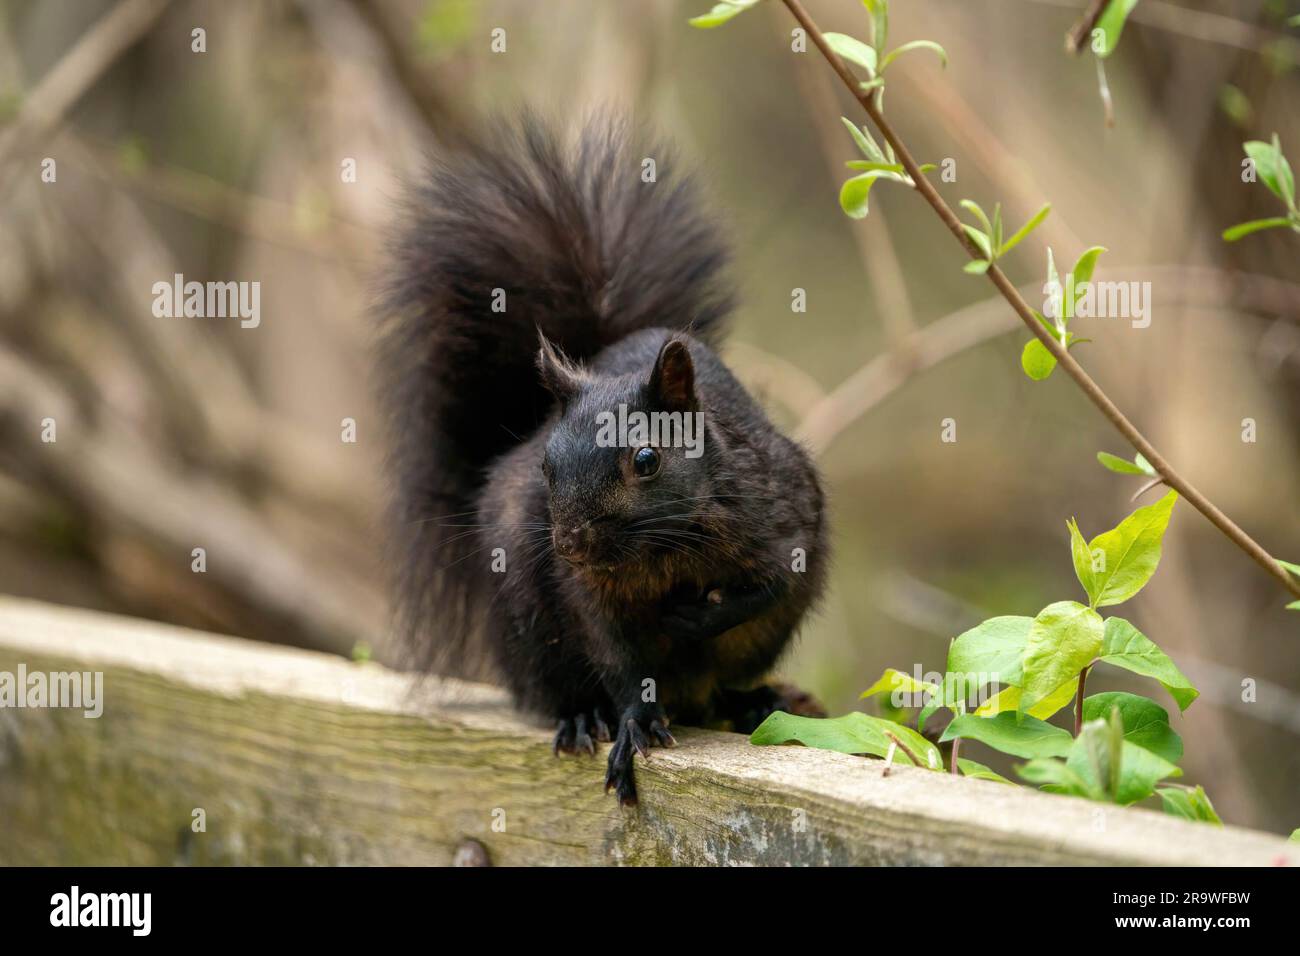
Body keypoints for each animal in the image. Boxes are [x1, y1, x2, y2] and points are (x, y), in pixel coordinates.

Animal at [378, 114, 829, 806]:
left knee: (727, 679)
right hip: (528, 625)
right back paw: (584, 716)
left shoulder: (781, 510)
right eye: (545, 466)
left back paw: (754, 700)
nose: (570, 544)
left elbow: (769, 584)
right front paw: (633, 721)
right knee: (561, 689)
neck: (662, 550)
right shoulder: (590, 597)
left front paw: (695, 616)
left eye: (646, 458)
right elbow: (619, 659)